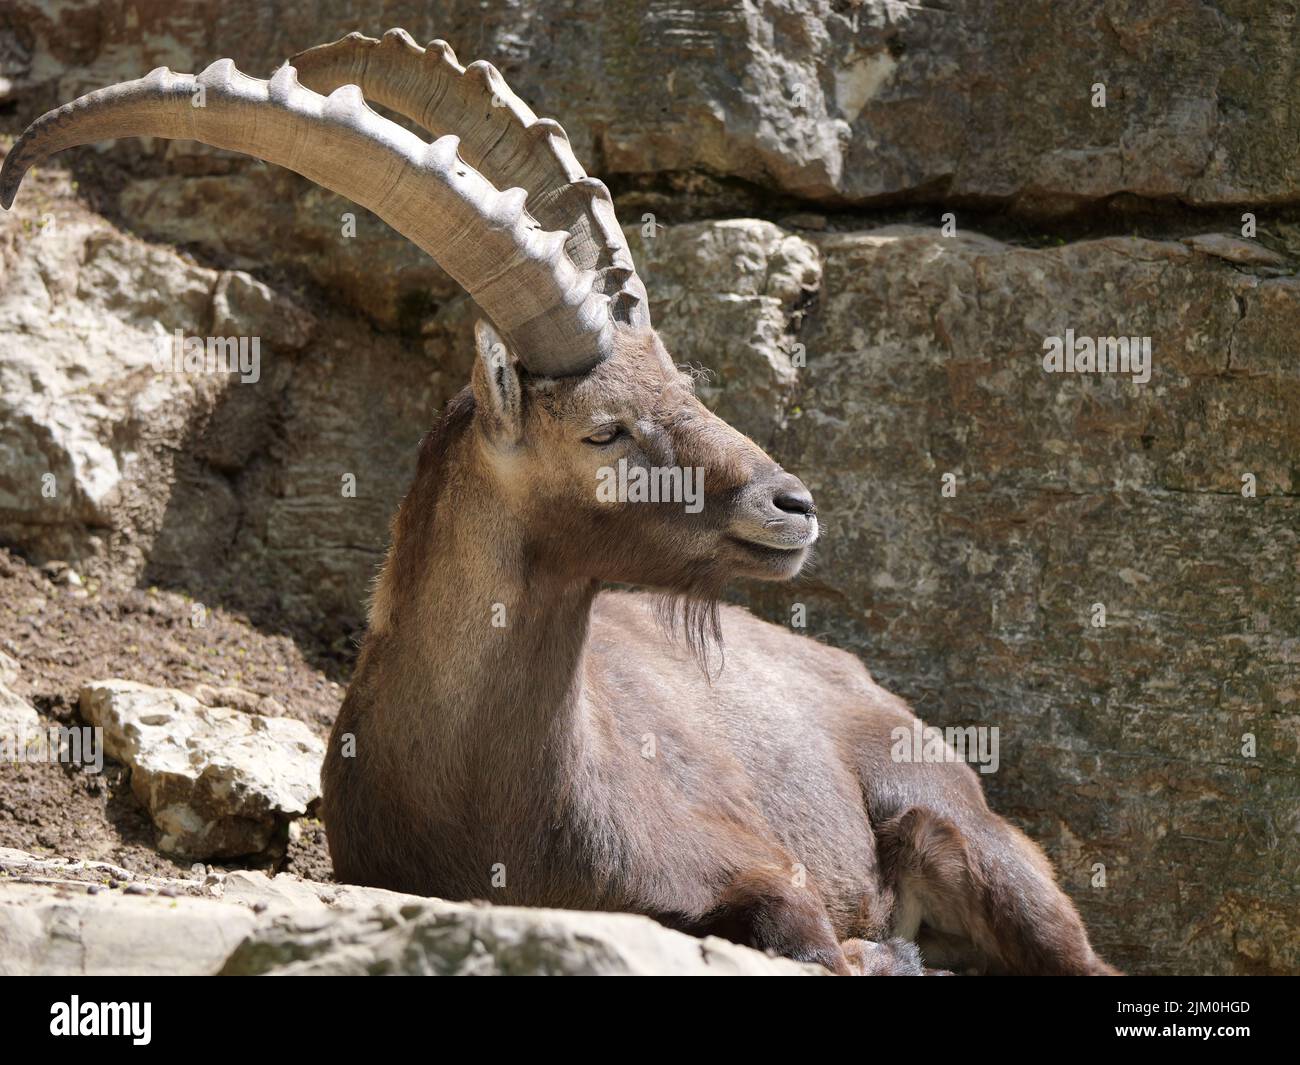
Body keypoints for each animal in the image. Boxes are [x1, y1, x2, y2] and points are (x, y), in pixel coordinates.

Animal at [1, 28, 1118, 975]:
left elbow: (813, 937)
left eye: (683, 386)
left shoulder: (764, 870)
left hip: (970, 838)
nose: (791, 505)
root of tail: (865, 682)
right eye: (605, 429)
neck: (496, 801)